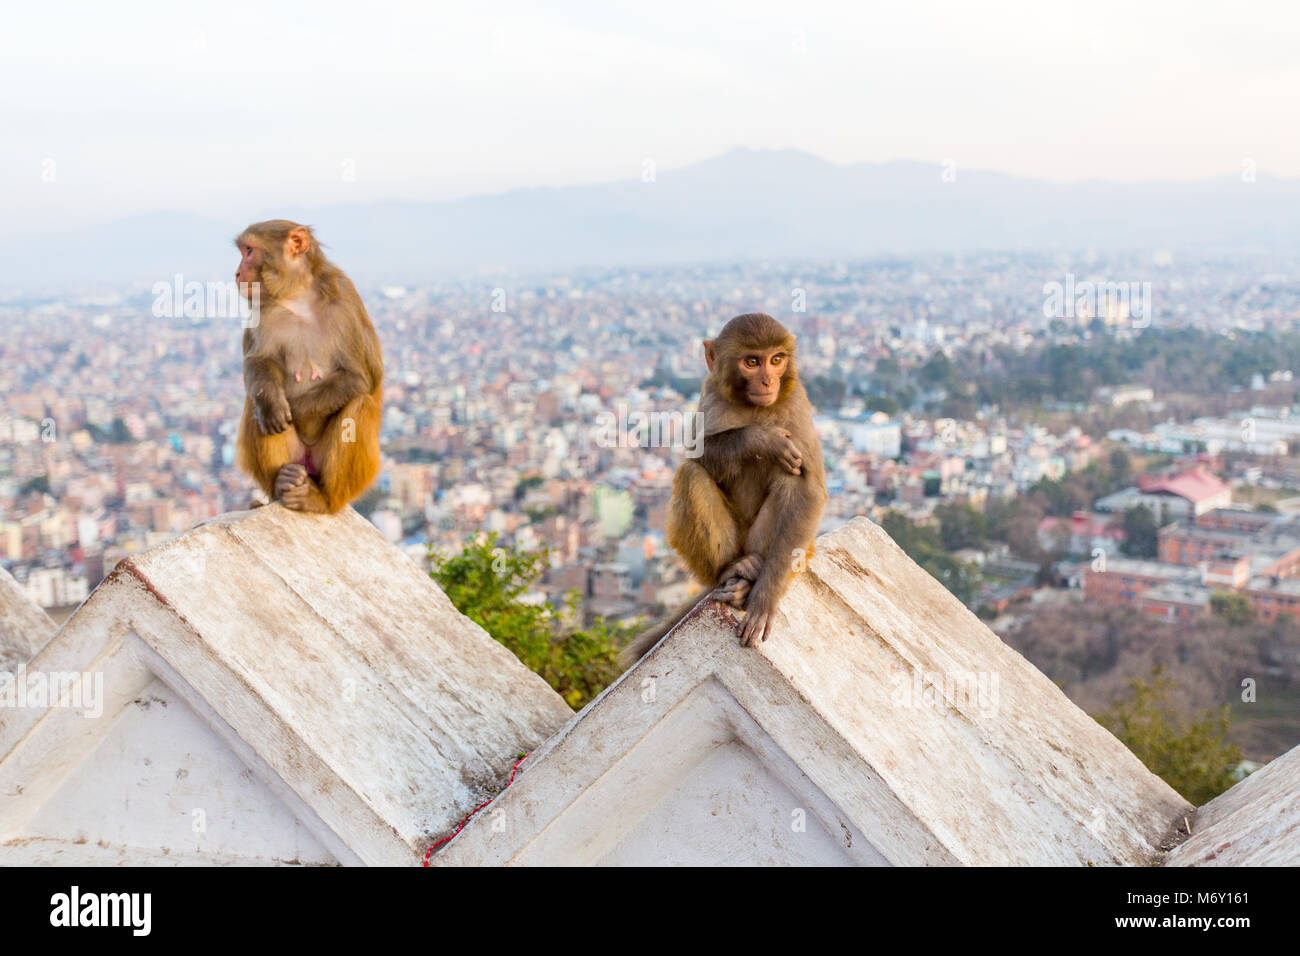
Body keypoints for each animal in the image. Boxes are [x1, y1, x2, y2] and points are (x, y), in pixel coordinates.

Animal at [233, 220, 383, 514]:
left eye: (249, 251)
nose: (237, 273)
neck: (298, 295)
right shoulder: (262, 310)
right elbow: (259, 360)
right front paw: (272, 405)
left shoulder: (344, 298)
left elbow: (359, 378)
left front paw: (296, 411)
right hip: (295, 456)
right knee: (254, 403)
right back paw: (282, 483)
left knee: (359, 404)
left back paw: (321, 499)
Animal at [621, 313, 827, 664]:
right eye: (752, 362)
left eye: (776, 360)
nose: (768, 382)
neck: (754, 407)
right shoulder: (711, 394)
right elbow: (697, 453)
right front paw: (762, 439)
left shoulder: (796, 401)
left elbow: (808, 488)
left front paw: (764, 598)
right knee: (690, 474)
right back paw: (733, 569)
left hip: (774, 542)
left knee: (789, 479)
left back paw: (750, 583)